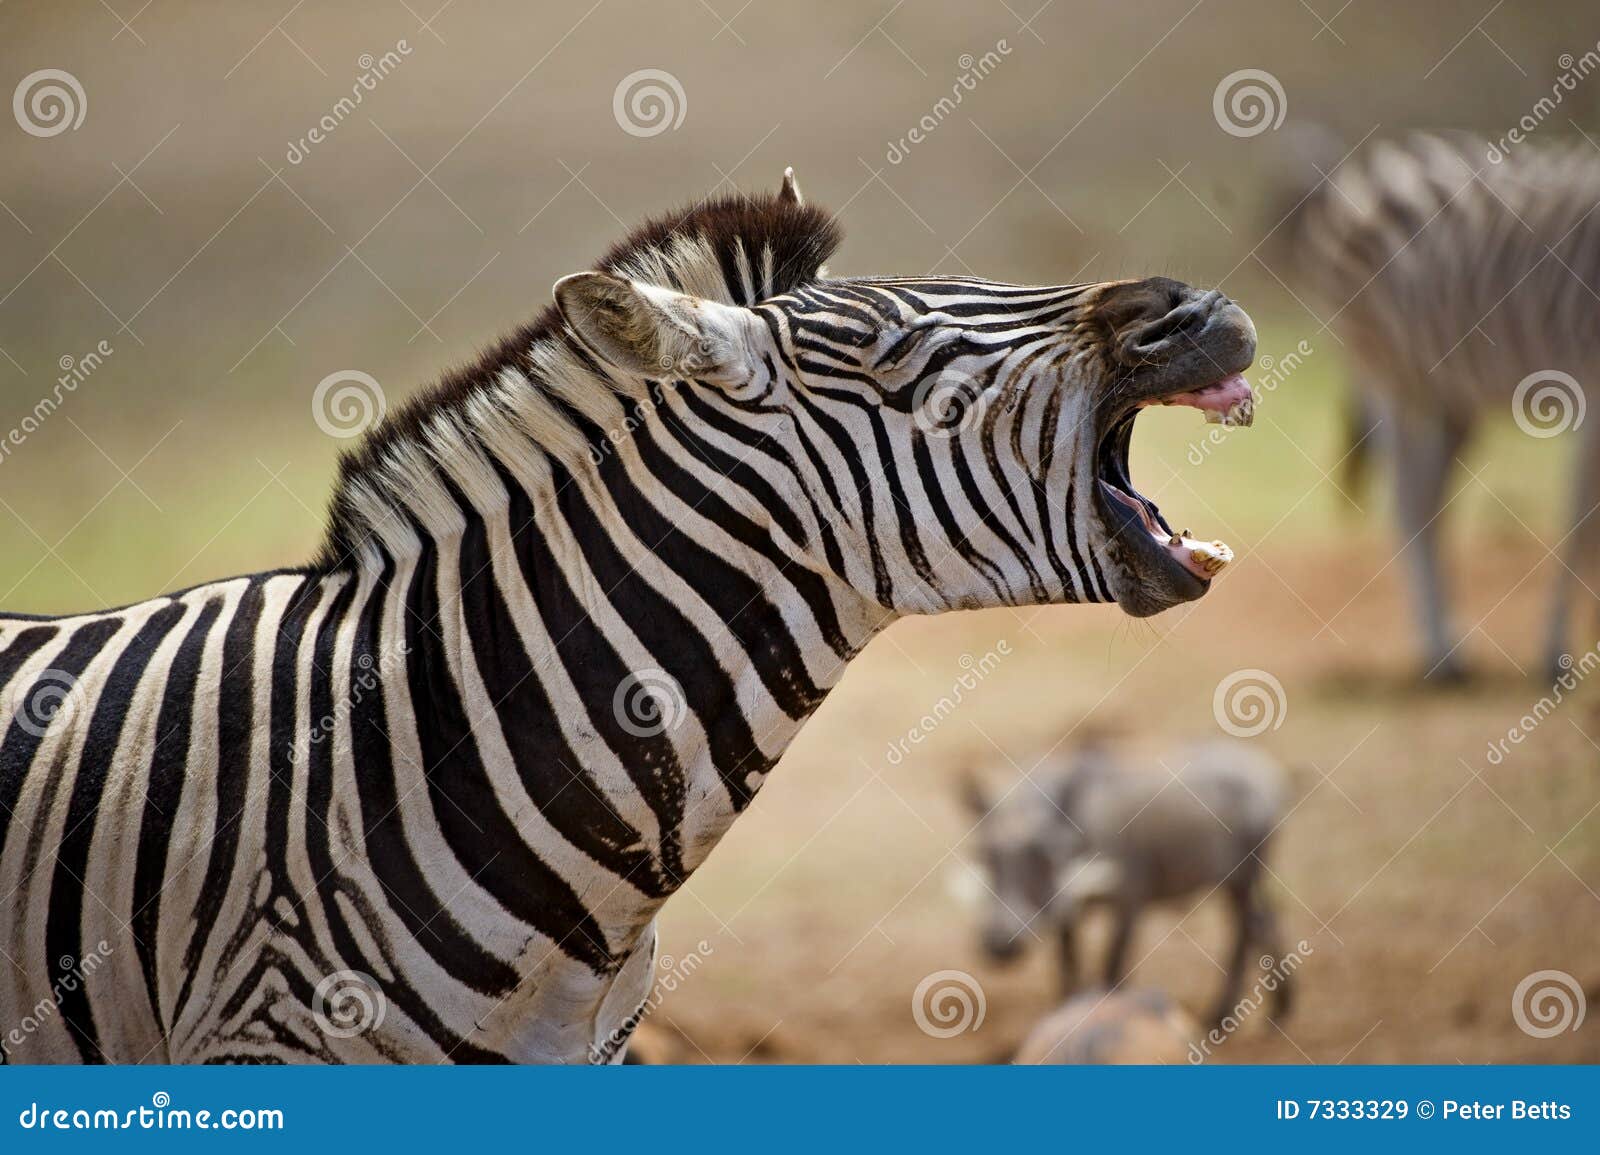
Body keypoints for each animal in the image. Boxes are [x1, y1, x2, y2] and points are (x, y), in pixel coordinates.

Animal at [1279, 131, 1600, 680]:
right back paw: (1439, 655)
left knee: (1433, 505)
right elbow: (1583, 521)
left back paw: (1449, 643)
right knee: (1410, 502)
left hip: (1451, 393)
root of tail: (1381, 158)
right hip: (1393, 373)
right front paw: (1555, 651)